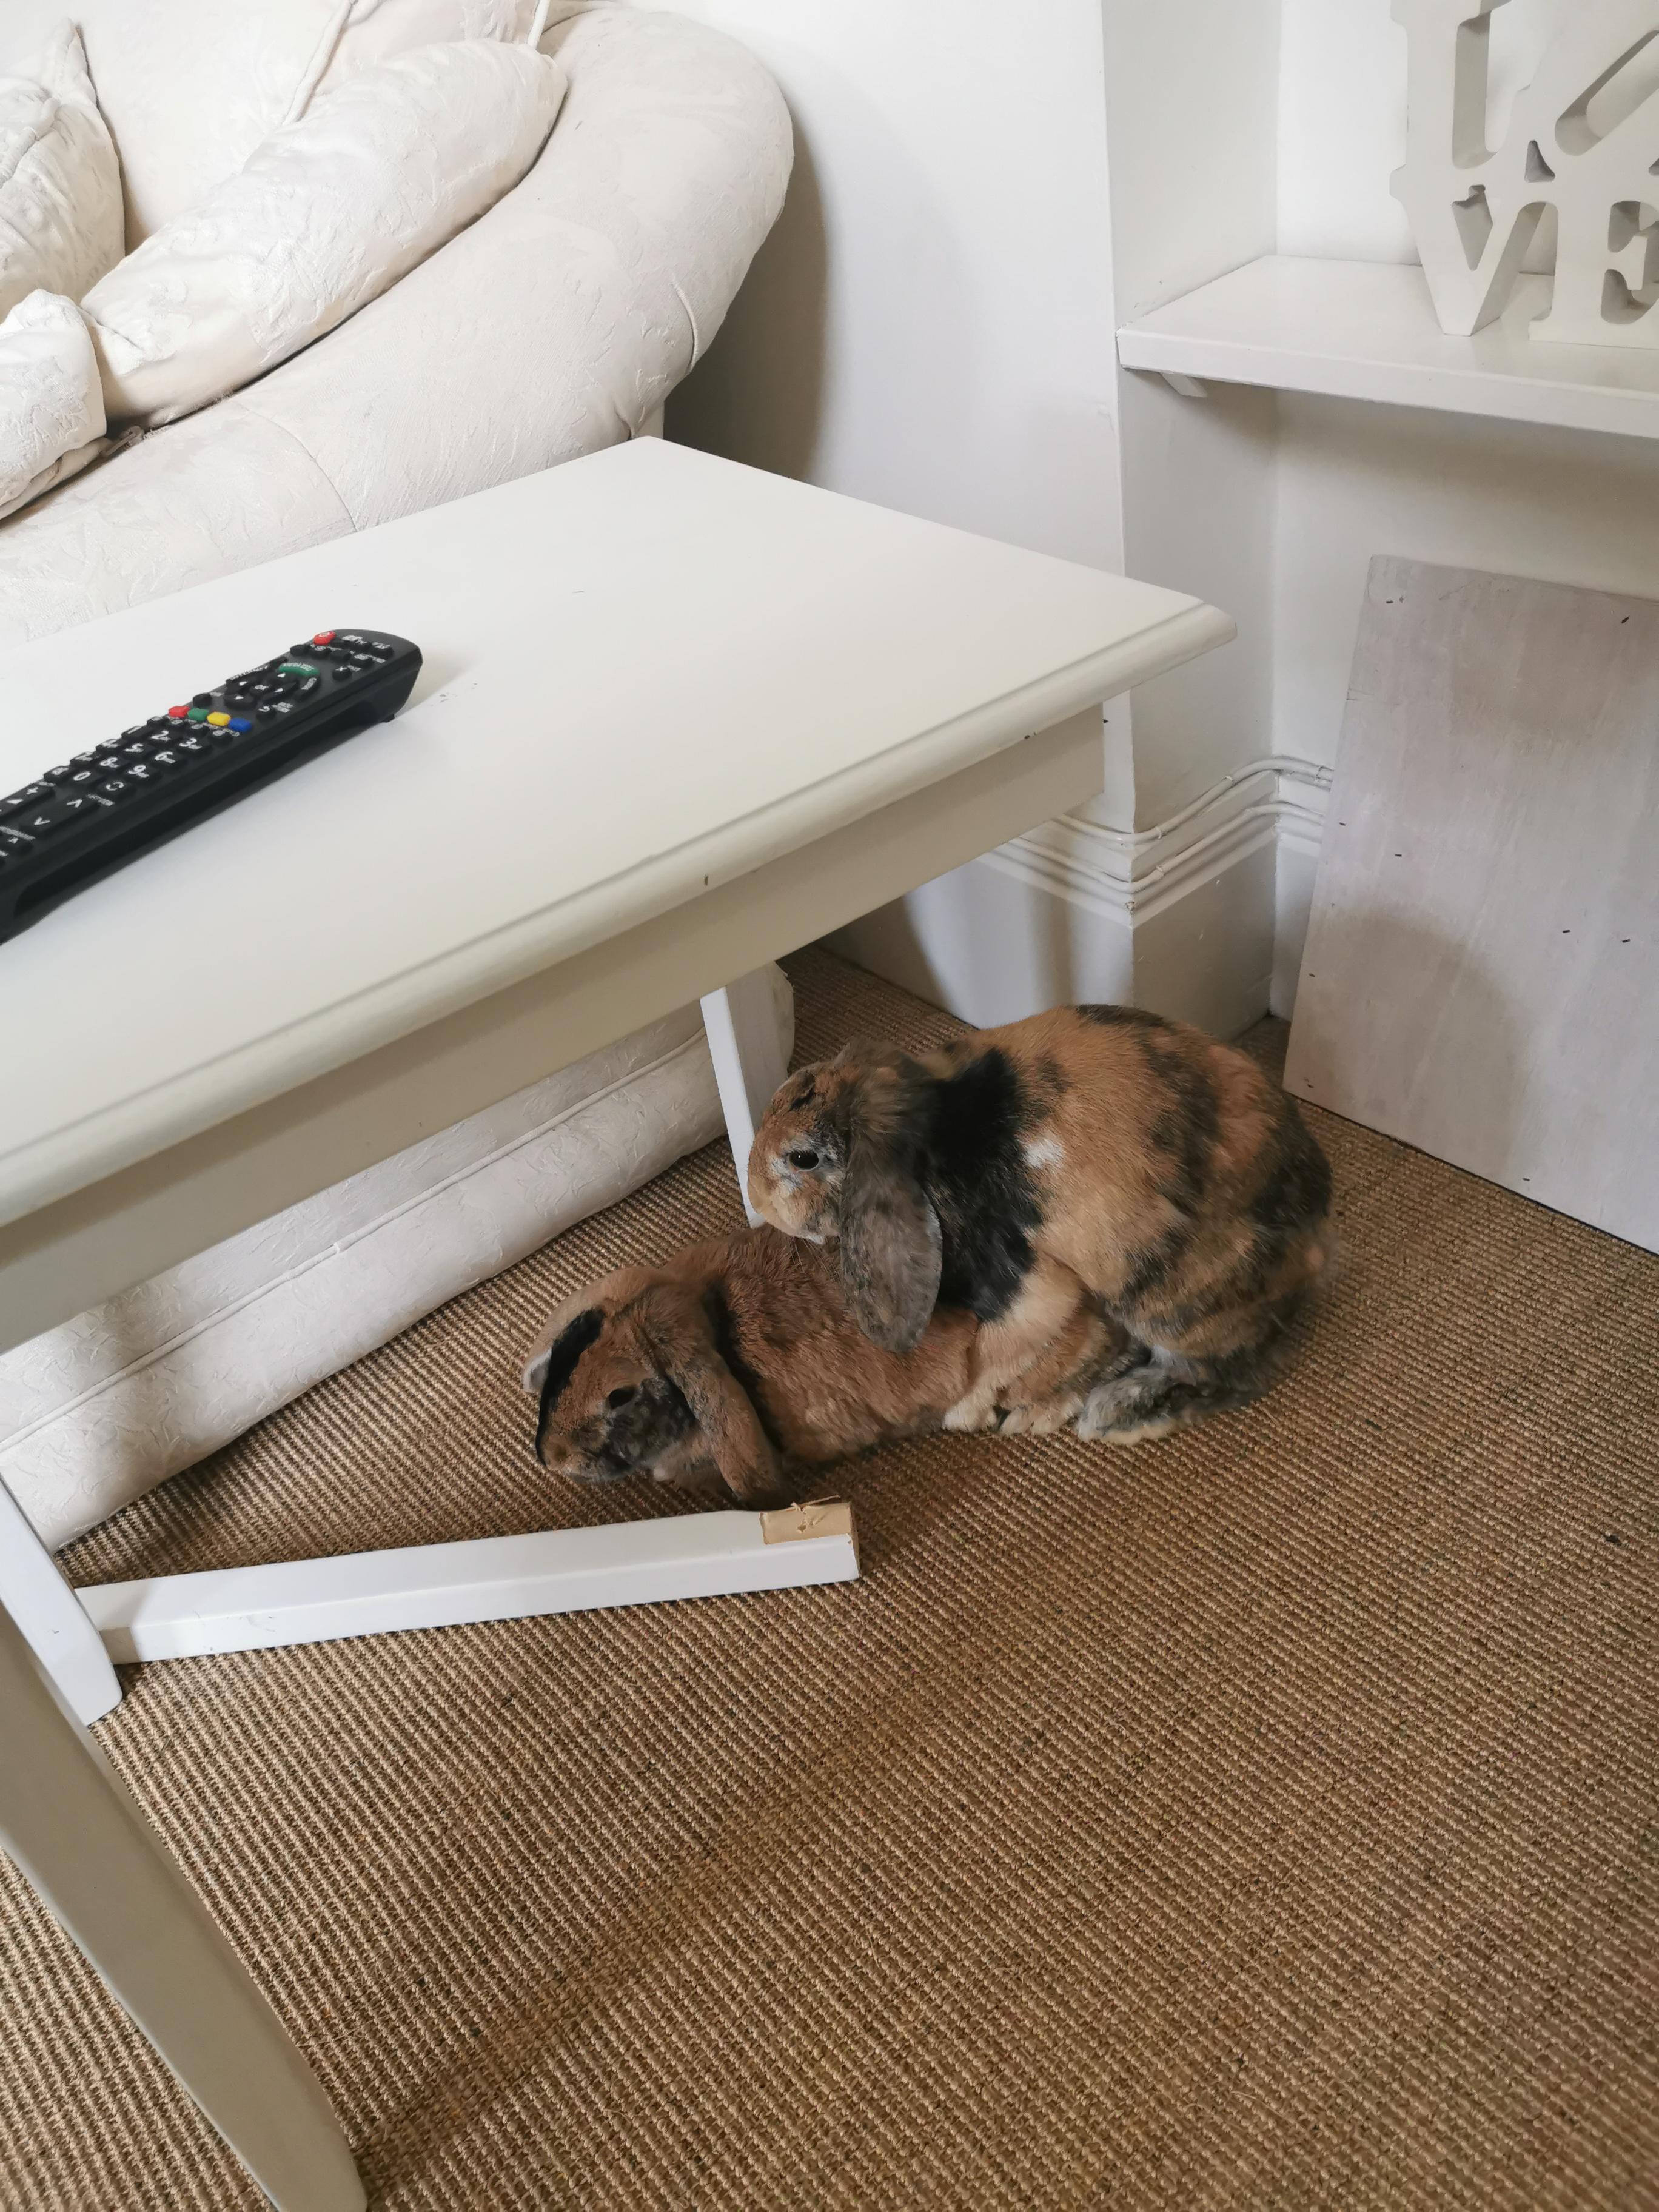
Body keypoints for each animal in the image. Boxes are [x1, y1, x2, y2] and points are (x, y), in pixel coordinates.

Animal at [747, 1004, 1333, 1444]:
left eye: (803, 1159)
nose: (754, 1194)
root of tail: (1317, 1244)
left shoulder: (1020, 1284)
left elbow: (994, 1354)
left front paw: (971, 1413)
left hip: (1167, 1294)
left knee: (1227, 1373)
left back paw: (1115, 1414)